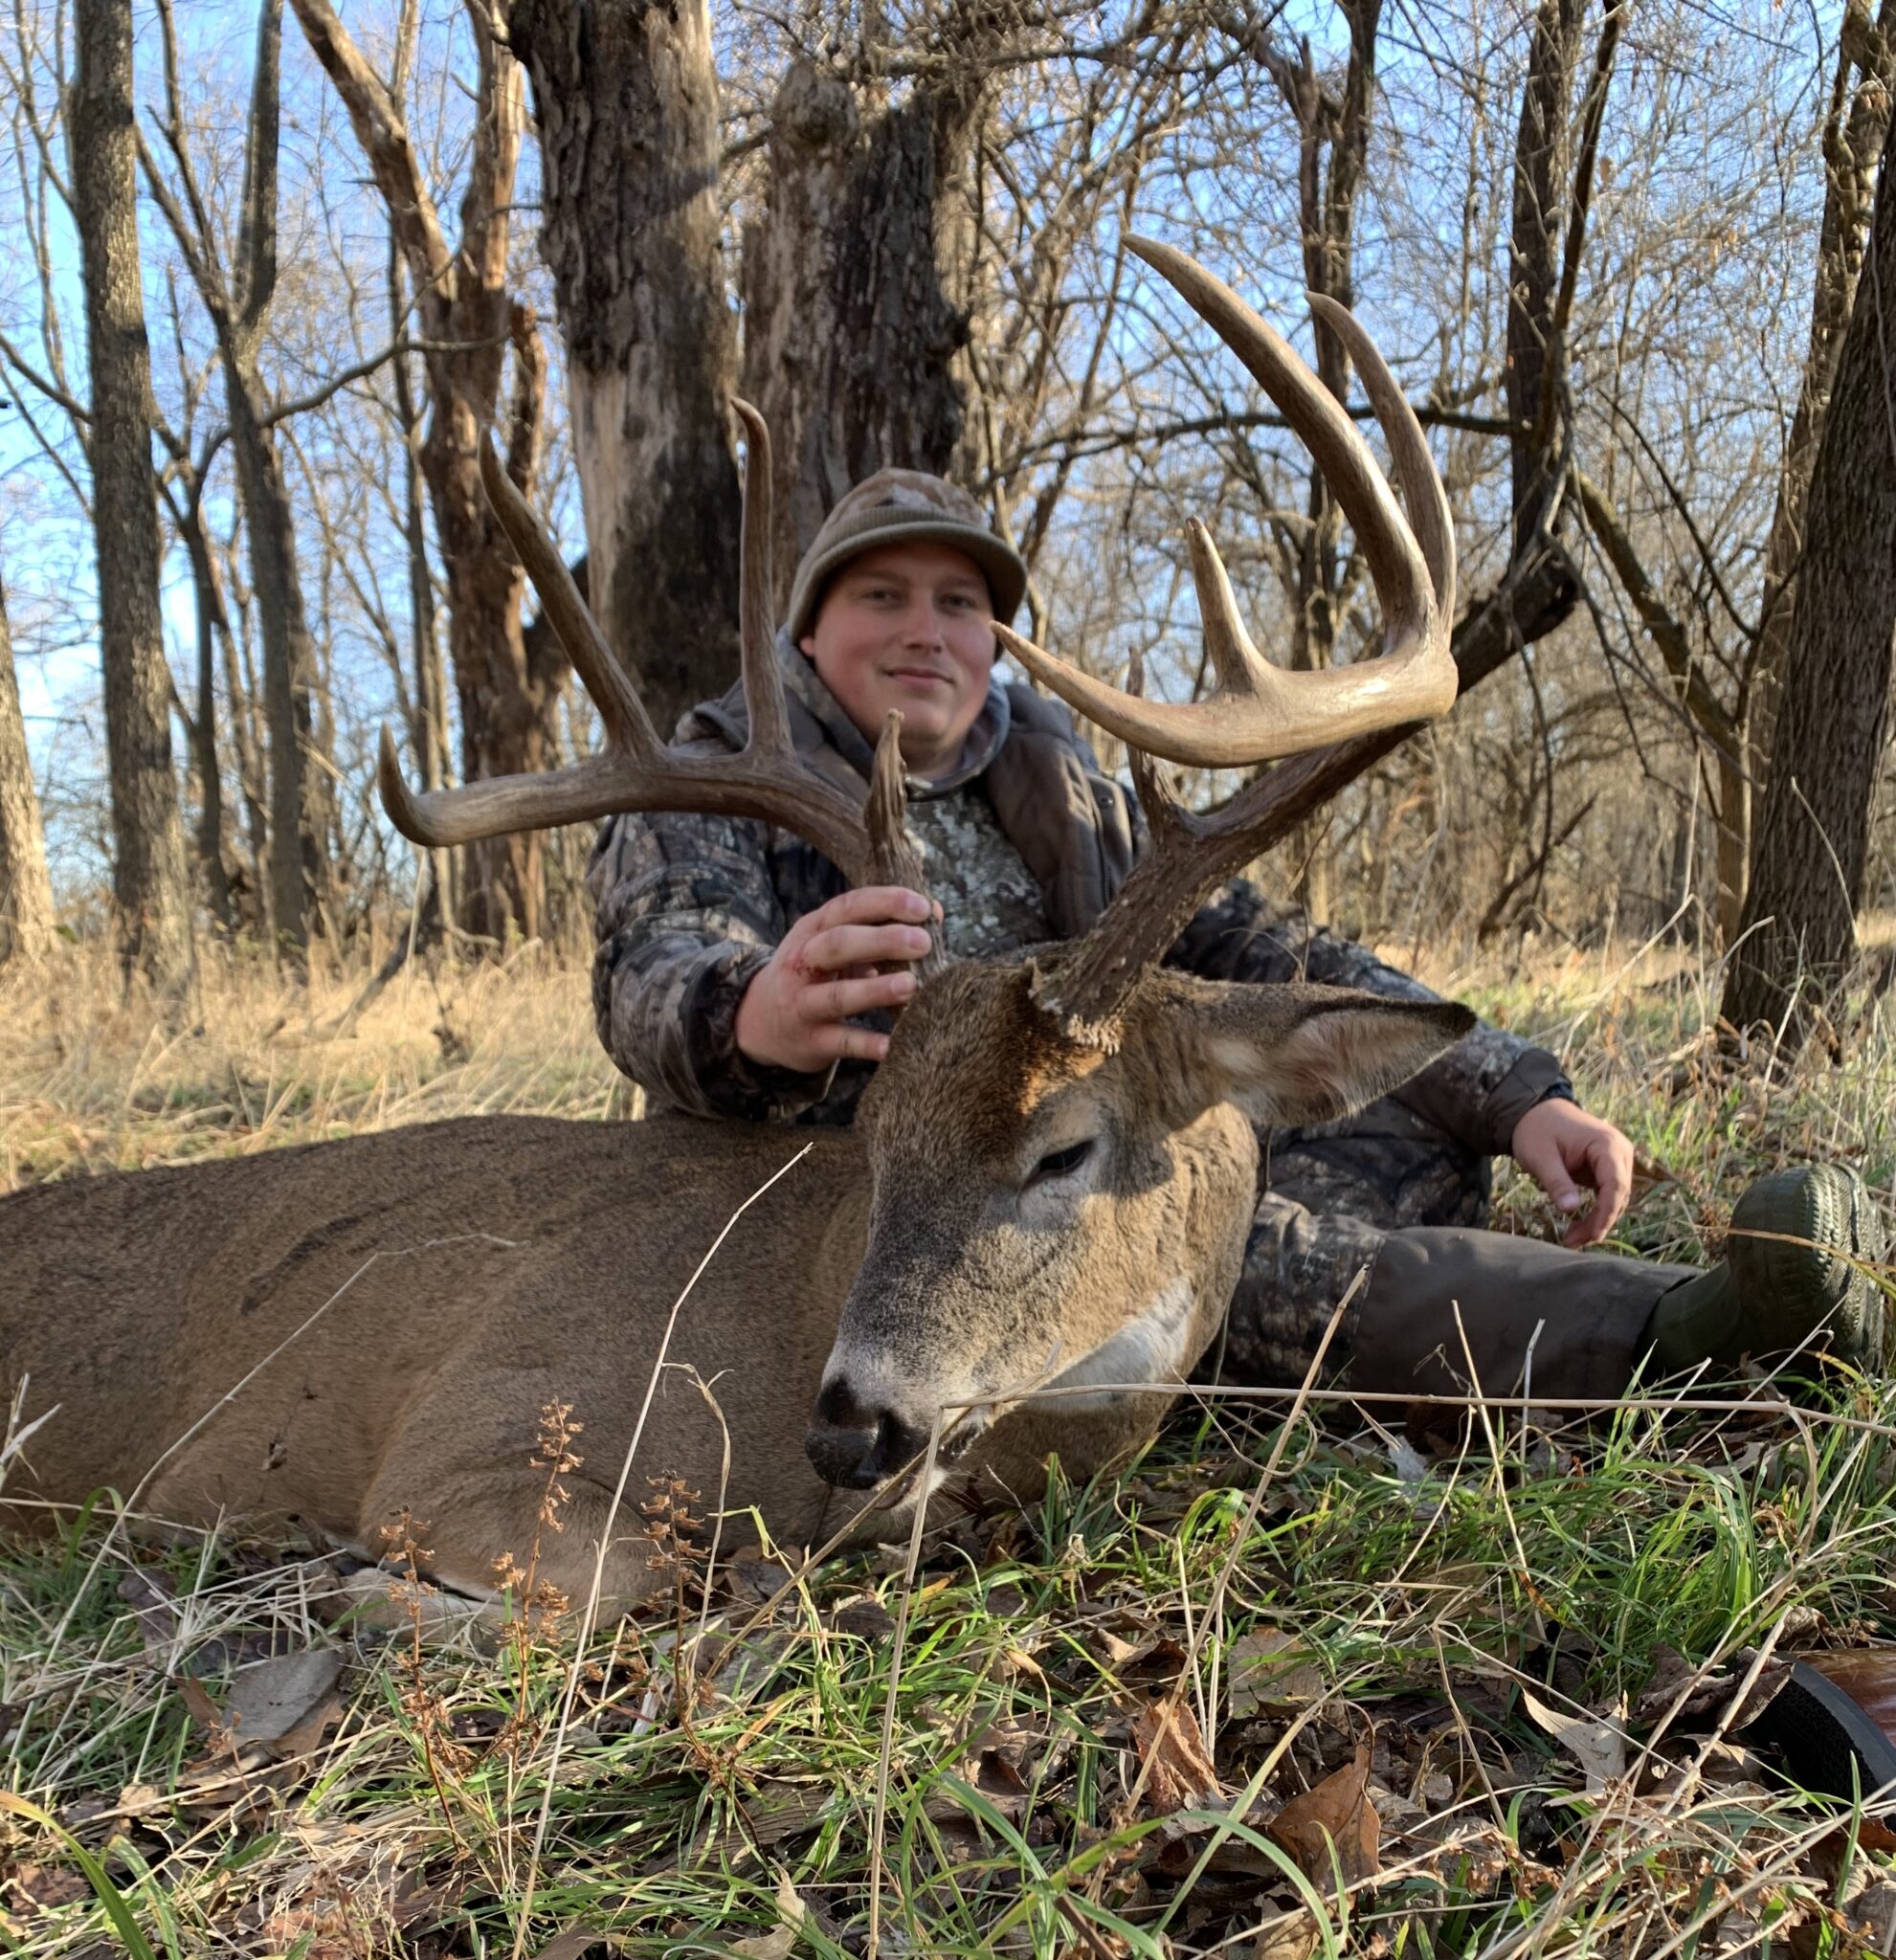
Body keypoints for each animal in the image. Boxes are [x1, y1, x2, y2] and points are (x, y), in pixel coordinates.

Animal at [0, 241, 1472, 1609]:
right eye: (874, 1140)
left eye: (1065, 1147)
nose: (852, 1426)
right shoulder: (475, 1428)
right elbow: (621, 1569)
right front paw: (357, 1587)